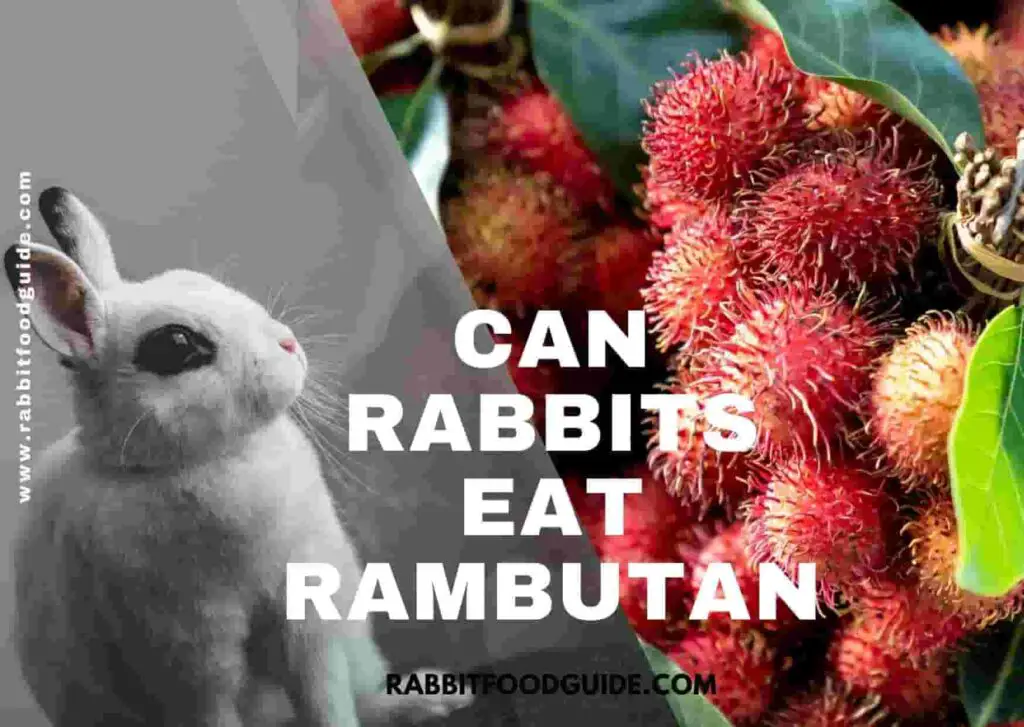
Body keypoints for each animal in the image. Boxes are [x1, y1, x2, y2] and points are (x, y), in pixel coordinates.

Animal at [3, 187, 472, 727]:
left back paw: (434, 698)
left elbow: (326, 699)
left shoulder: (307, 621)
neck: (208, 460)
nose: (289, 343)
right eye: (176, 344)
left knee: (366, 695)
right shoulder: (193, 665)